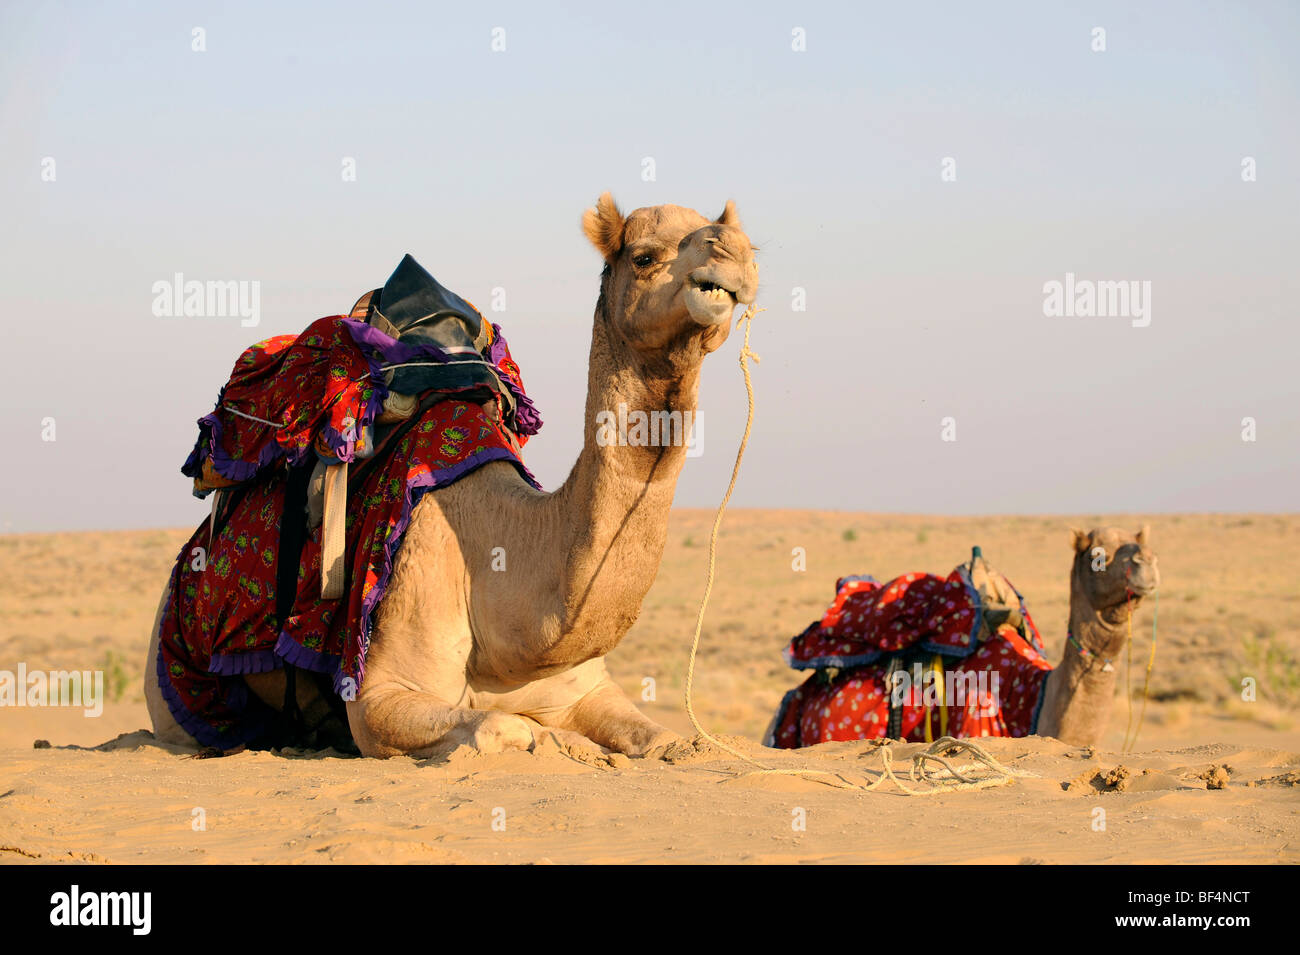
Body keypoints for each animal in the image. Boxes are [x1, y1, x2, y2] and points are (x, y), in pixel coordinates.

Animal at [145, 193, 759, 759]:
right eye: (644, 255)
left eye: (736, 237)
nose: (734, 251)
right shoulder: (381, 692)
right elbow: (506, 728)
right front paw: (562, 743)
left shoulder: (585, 689)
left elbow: (666, 741)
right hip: (173, 682)